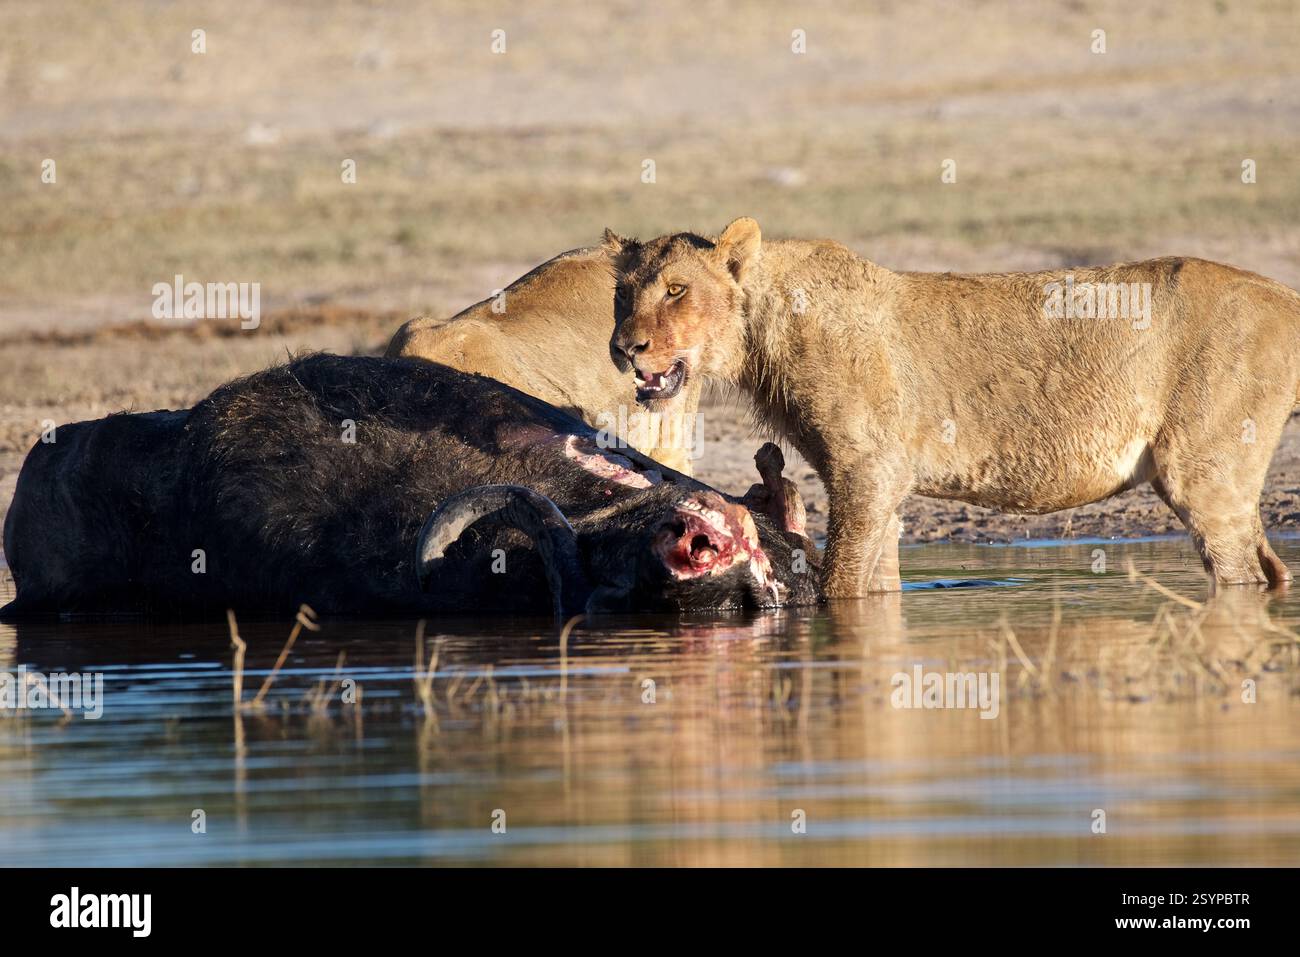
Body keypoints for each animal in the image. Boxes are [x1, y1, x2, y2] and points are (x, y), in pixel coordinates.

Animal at [605, 217, 1300, 597]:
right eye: (621, 295)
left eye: (676, 289)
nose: (623, 346)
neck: (763, 326)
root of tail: (1282, 292)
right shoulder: (877, 483)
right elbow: (874, 582)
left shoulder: (868, 469)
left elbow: (838, 583)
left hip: (1203, 470)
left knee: (1244, 570)